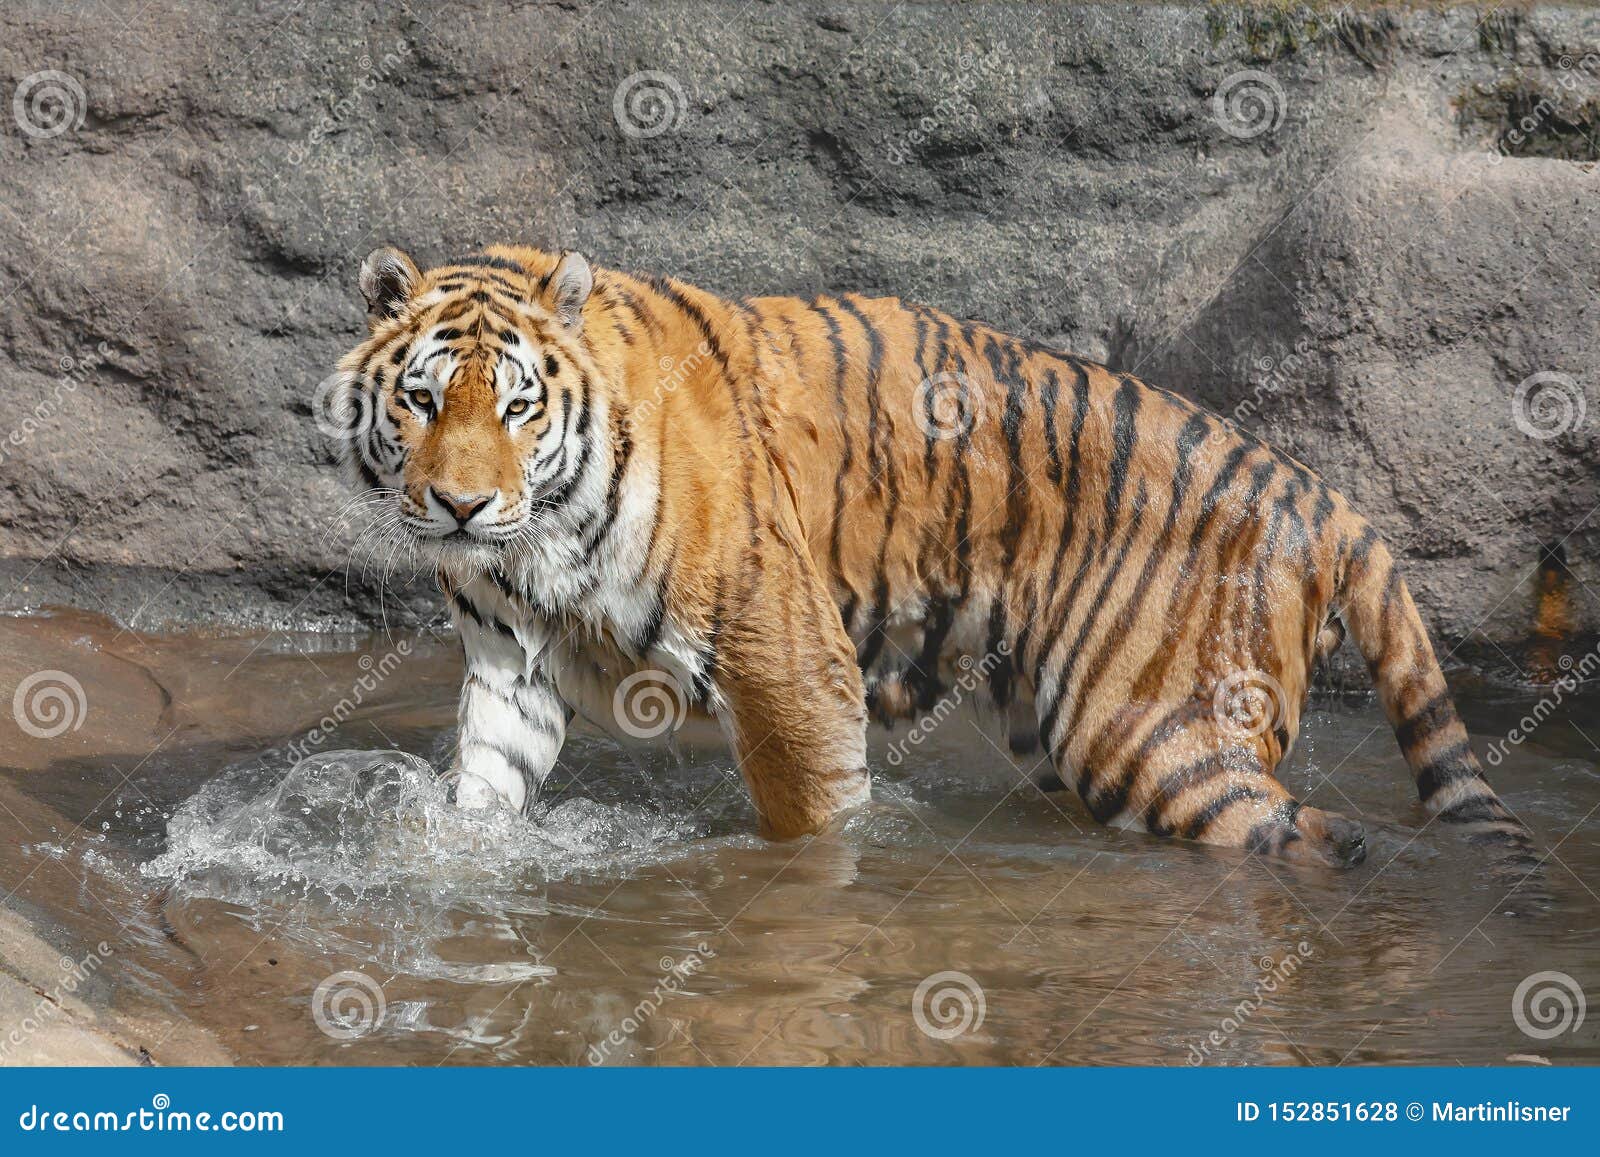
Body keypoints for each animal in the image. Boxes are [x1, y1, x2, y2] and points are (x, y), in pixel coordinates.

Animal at [327, 243, 1544, 888]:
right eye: (423, 400)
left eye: (517, 408)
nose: (461, 503)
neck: (538, 538)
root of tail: (1323, 498)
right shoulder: (515, 666)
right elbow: (485, 790)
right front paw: (454, 864)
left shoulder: (786, 657)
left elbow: (814, 816)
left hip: (1147, 735)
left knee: (1326, 837)